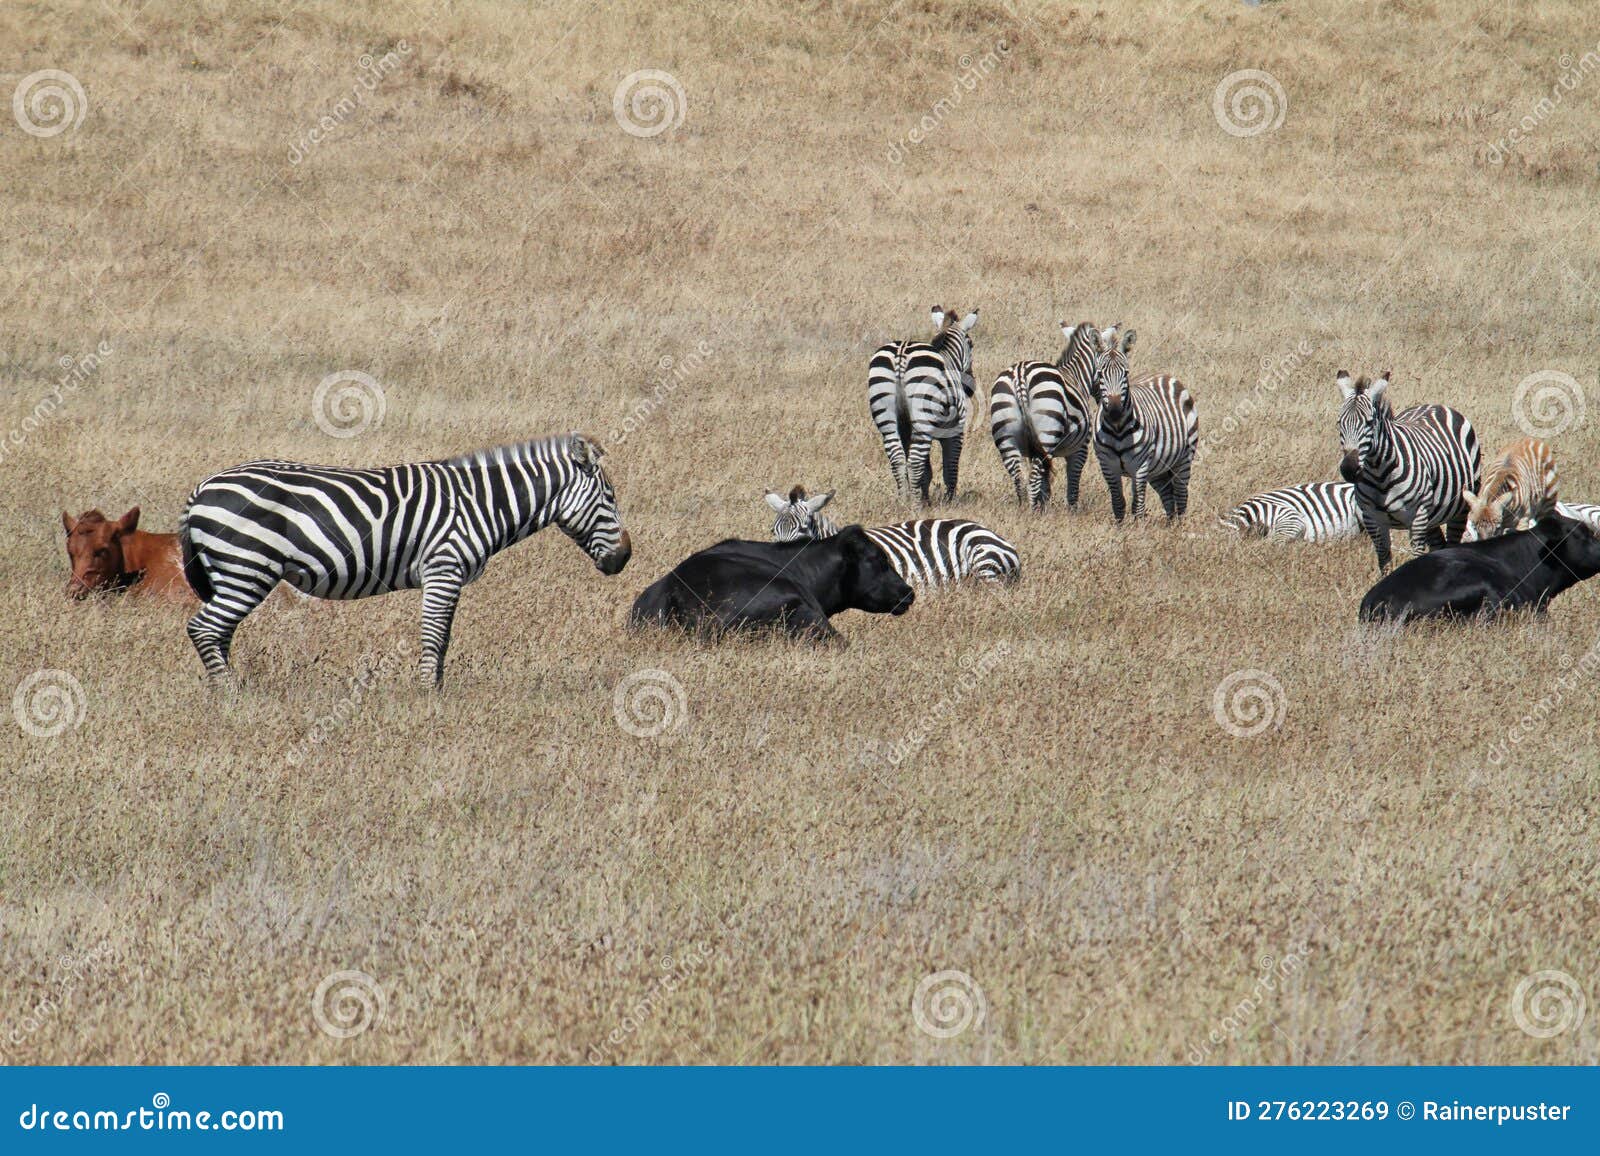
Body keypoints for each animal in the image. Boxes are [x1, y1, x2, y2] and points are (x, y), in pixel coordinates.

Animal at [179, 433, 630, 687]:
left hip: (233, 572)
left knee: (219, 633)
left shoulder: (446, 575)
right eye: (610, 498)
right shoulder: (444, 568)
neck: (481, 502)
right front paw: (428, 693)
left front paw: (437, 688)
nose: (625, 558)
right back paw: (229, 694)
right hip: (247, 567)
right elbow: (435, 636)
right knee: (203, 628)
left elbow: (444, 638)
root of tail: (202, 488)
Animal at [867, 305, 979, 504]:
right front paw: (949, 501)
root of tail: (901, 353)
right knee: (914, 462)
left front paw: (926, 498)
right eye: (971, 344)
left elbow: (927, 471)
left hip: (887, 413)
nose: (970, 387)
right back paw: (915, 505)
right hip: (922, 416)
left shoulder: (907, 431)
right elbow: (951, 467)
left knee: (898, 458)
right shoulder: (955, 430)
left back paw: (904, 500)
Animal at [989, 321, 1100, 509]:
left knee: (1019, 477)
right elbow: (1073, 481)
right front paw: (1071, 510)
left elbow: (1045, 482)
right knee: (1033, 479)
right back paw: (1033, 512)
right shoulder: (1080, 449)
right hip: (1047, 432)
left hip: (1006, 434)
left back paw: (1023, 509)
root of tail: (1020, 374)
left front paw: (1044, 507)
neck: (1077, 376)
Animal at [1091, 326, 1199, 520]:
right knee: (1168, 495)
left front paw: (1138, 527)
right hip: (1158, 468)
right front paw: (1120, 526)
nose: (1115, 412)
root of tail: (1163, 375)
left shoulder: (1139, 467)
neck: (1117, 430)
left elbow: (1138, 506)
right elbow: (1118, 503)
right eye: (1100, 374)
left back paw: (1179, 524)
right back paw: (1170, 524)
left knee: (1181, 494)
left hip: (1184, 457)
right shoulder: (1107, 466)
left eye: (1125, 373)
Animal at [1336, 370, 1480, 572]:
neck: (1380, 475)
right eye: (1339, 423)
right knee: (1438, 545)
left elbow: (1416, 555)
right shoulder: (1372, 519)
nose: (1349, 470)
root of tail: (1434, 405)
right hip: (1432, 515)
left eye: (1369, 423)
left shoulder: (1418, 517)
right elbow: (1384, 561)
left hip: (1459, 509)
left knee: (1451, 542)